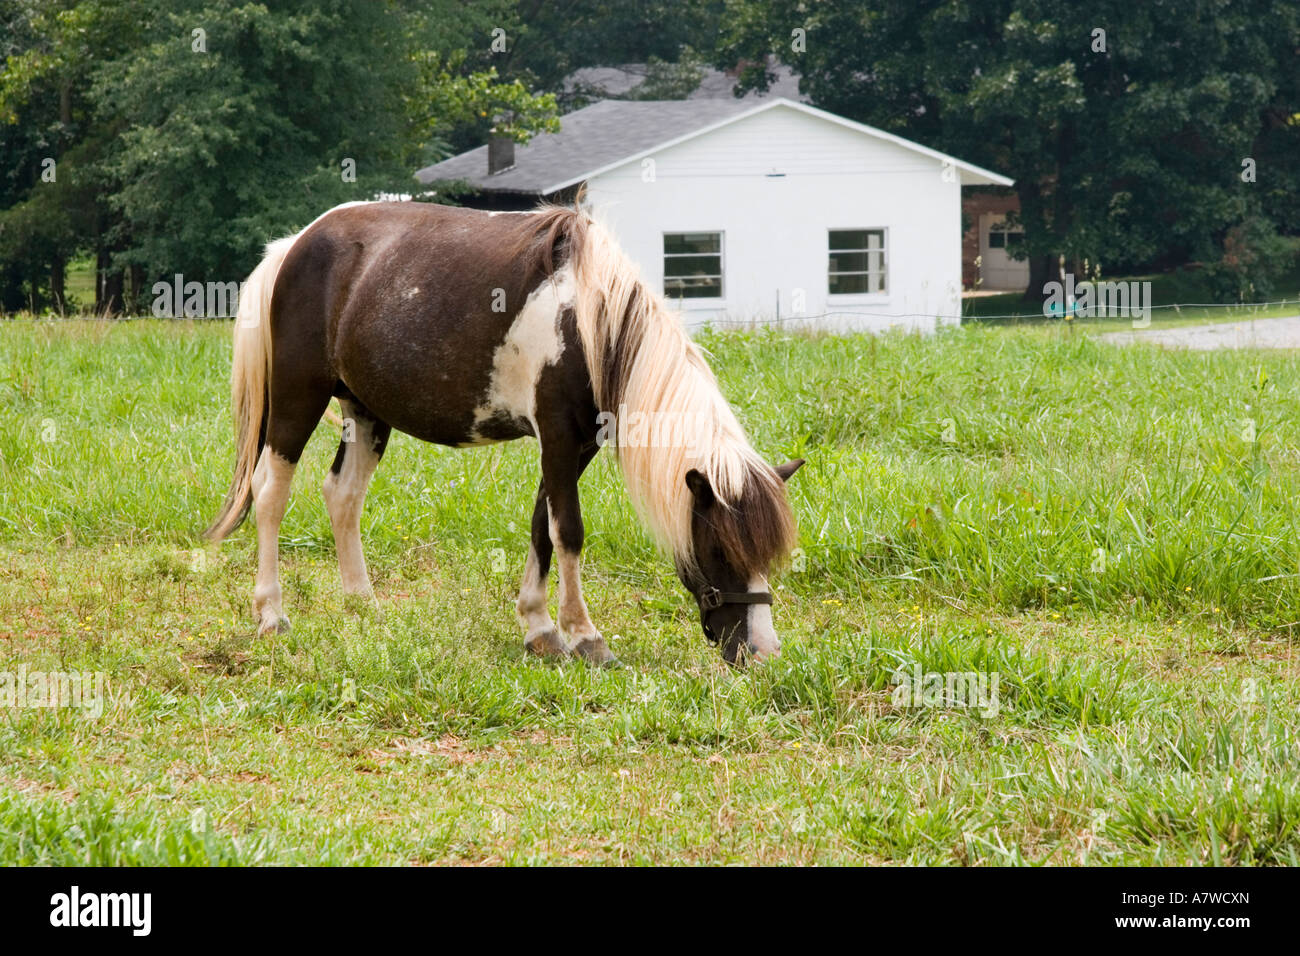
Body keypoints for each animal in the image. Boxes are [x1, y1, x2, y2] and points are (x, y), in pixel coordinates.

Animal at [205, 200, 803, 665]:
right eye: (720, 548)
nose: (763, 651)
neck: (588, 325)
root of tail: (294, 245)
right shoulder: (558, 437)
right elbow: (569, 532)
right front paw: (585, 637)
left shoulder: (576, 446)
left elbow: (543, 526)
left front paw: (540, 629)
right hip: (296, 398)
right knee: (271, 492)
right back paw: (272, 615)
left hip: (366, 410)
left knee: (343, 495)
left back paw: (362, 605)